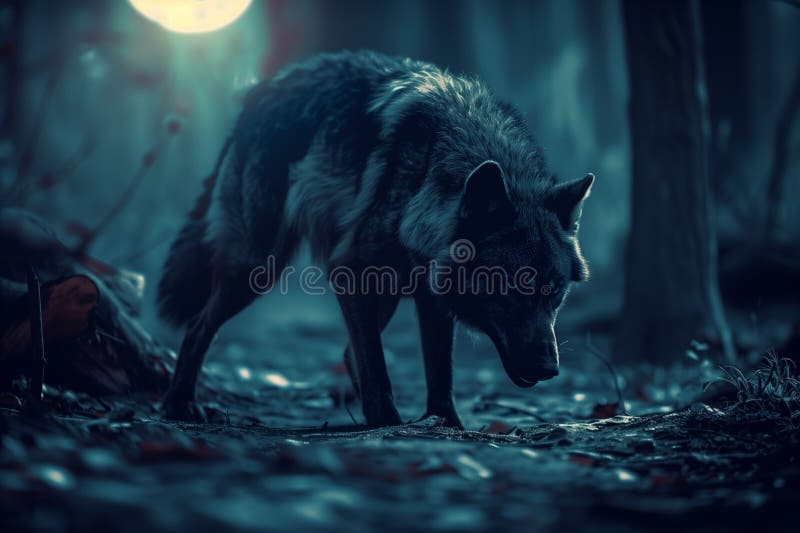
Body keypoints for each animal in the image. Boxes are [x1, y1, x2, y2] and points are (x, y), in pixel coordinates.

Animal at [157, 51, 594, 428]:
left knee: (348, 352)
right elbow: (378, 367)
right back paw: (180, 404)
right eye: (513, 288)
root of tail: (259, 93)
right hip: (257, 266)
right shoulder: (350, 271)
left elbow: (440, 371)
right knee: (198, 327)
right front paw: (388, 422)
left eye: (555, 291)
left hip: (377, 290)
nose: (549, 368)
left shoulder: (430, 295)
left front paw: (445, 422)